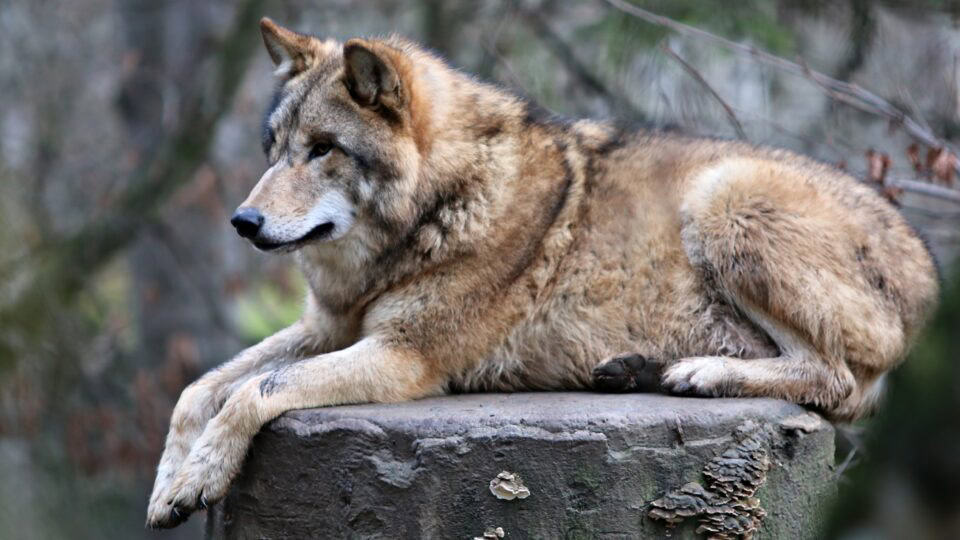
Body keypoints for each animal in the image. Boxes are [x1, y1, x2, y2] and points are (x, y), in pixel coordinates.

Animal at [146, 18, 940, 528]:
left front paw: (204, 473)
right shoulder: (326, 328)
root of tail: (930, 275)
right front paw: (171, 485)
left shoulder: (402, 357)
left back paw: (701, 374)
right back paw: (639, 370)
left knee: (836, 384)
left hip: (722, 197)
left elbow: (253, 391)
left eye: (322, 149)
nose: (243, 222)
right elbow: (199, 390)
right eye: (275, 148)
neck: (443, 204)